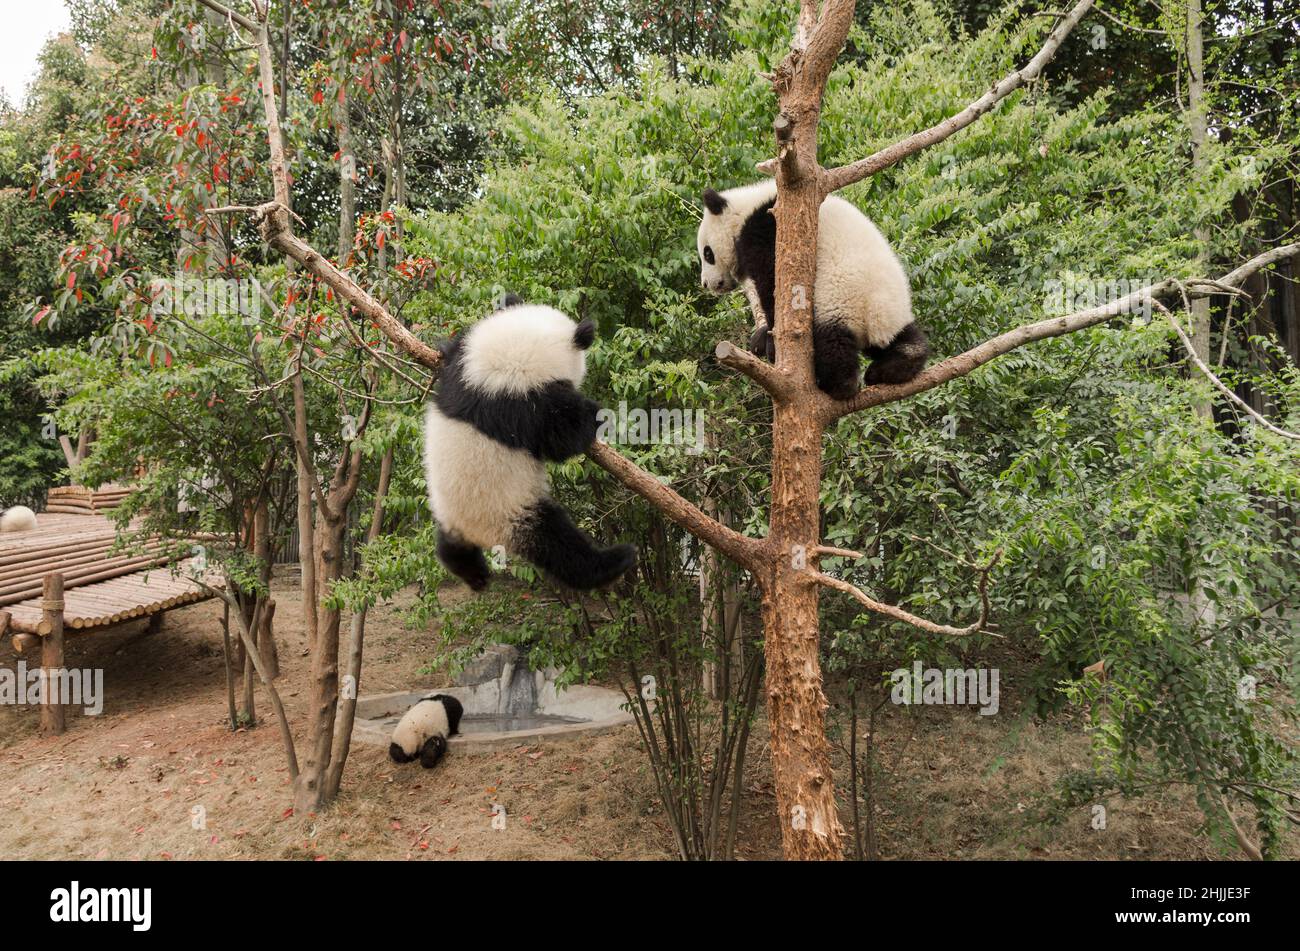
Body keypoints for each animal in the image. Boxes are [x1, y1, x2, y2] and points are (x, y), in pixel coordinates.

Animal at [423, 297, 637, 591]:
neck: (508, 357)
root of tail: (474, 533)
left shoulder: (464, 368)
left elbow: (450, 356)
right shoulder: (526, 404)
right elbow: (563, 438)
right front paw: (595, 415)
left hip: (451, 515)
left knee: (451, 548)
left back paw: (473, 574)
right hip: (515, 513)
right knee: (560, 546)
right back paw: (612, 563)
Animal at [696, 178, 929, 400]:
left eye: (708, 254)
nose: (706, 284)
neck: (745, 208)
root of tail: (875, 318)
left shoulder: (766, 226)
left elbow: (772, 283)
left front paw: (771, 342)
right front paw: (761, 338)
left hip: (839, 295)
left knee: (831, 339)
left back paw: (839, 385)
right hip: (892, 313)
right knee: (903, 339)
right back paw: (897, 364)